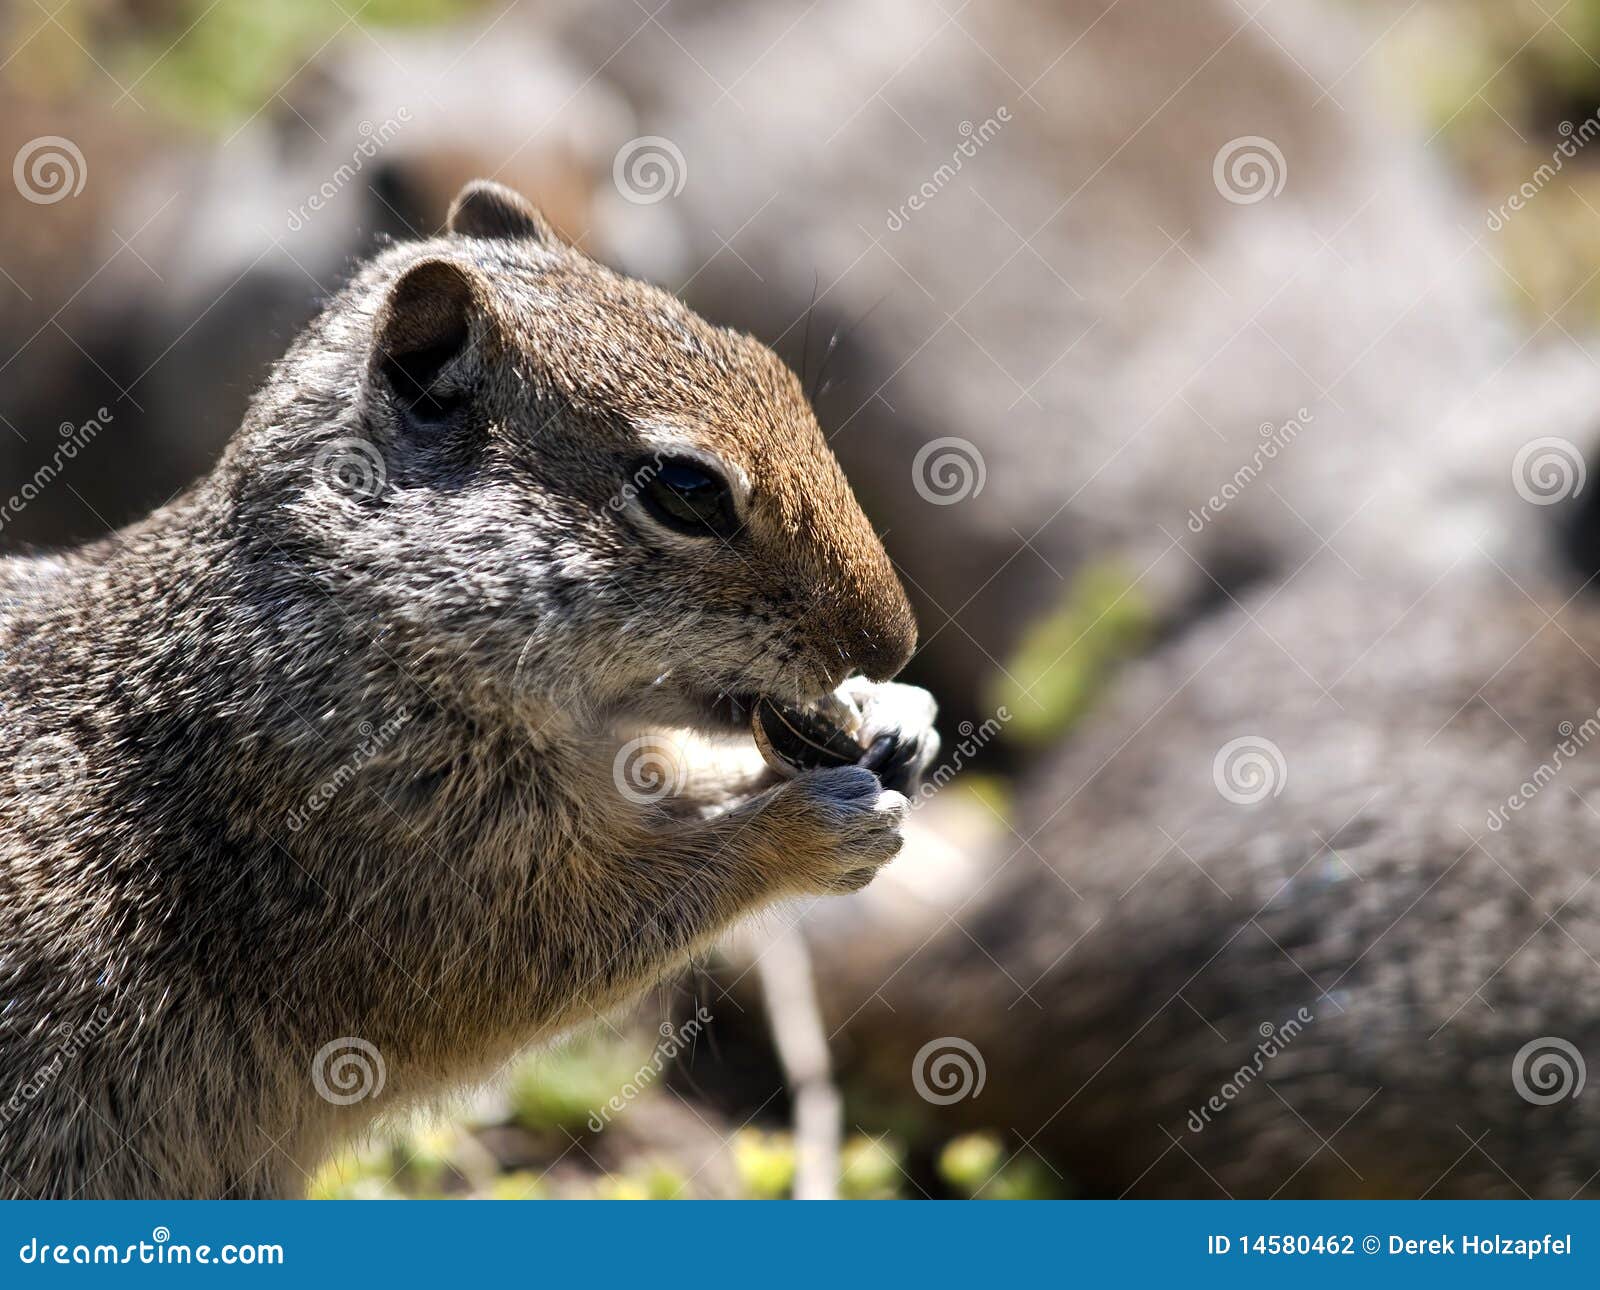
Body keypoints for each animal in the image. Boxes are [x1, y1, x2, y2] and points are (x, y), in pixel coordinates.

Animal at [0, 180, 938, 1199]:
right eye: (687, 490)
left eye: (777, 370)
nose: (894, 642)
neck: (352, 617)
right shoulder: (391, 859)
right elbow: (549, 949)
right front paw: (804, 831)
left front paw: (898, 721)